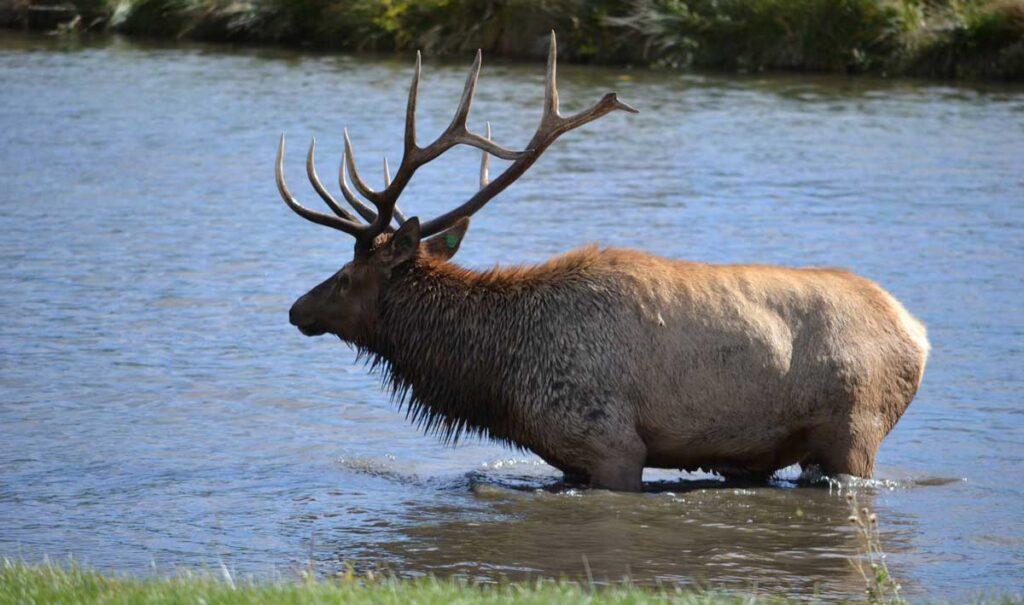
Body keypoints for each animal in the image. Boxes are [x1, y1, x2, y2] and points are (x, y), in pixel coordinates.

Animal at [276, 33, 930, 492]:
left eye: (345, 277)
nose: (295, 309)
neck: (499, 379)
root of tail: (916, 331)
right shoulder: (568, 457)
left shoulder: (610, 442)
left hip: (856, 428)